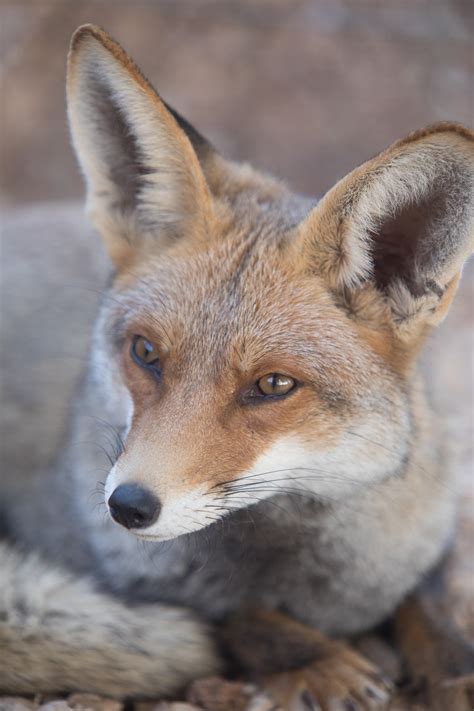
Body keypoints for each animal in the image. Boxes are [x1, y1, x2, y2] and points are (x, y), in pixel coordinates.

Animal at [1, 22, 473, 710]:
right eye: (145, 353)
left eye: (273, 384)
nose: (127, 507)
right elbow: (239, 618)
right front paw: (320, 662)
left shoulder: (428, 544)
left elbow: (433, 617)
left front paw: (452, 672)